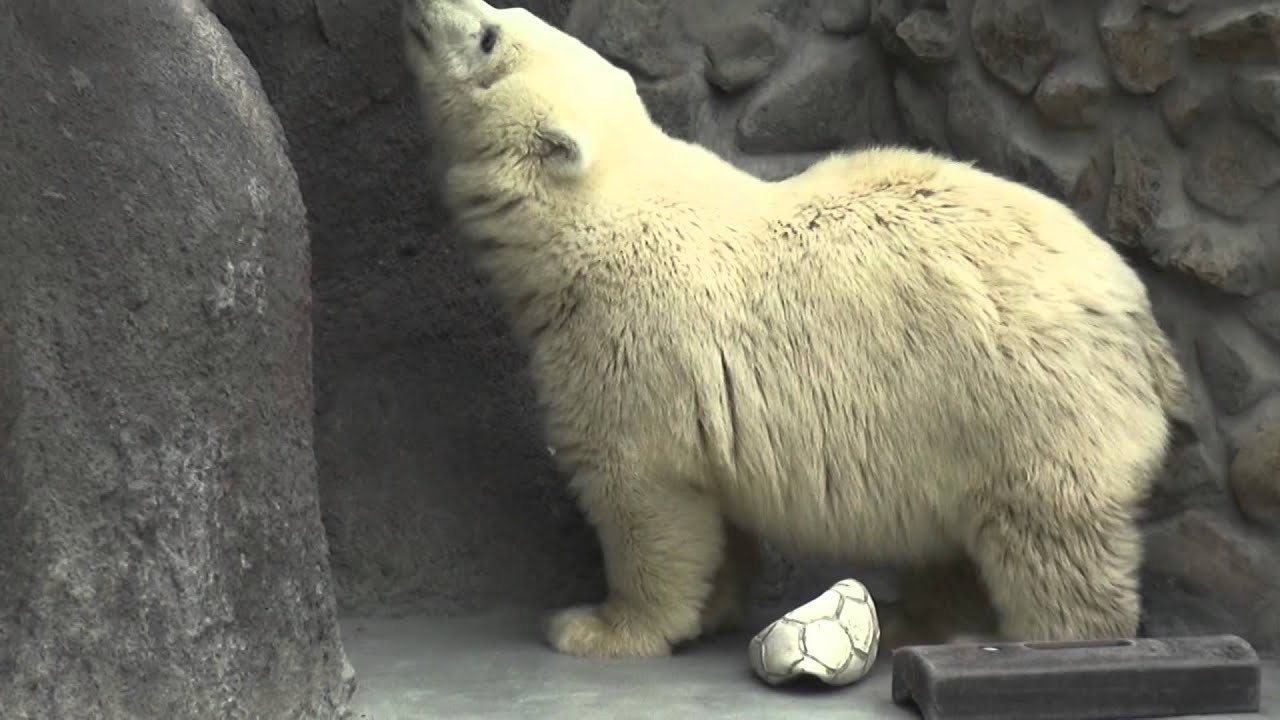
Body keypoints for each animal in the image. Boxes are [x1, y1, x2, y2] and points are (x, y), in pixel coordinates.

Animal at [401, 0, 1194, 659]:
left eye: (488, 36)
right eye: (505, 13)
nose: (420, 5)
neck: (593, 226)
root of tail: (1139, 319)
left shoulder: (628, 346)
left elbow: (643, 499)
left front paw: (597, 627)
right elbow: (719, 518)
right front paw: (712, 610)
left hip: (1028, 402)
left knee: (1050, 537)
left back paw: (1048, 641)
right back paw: (913, 619)